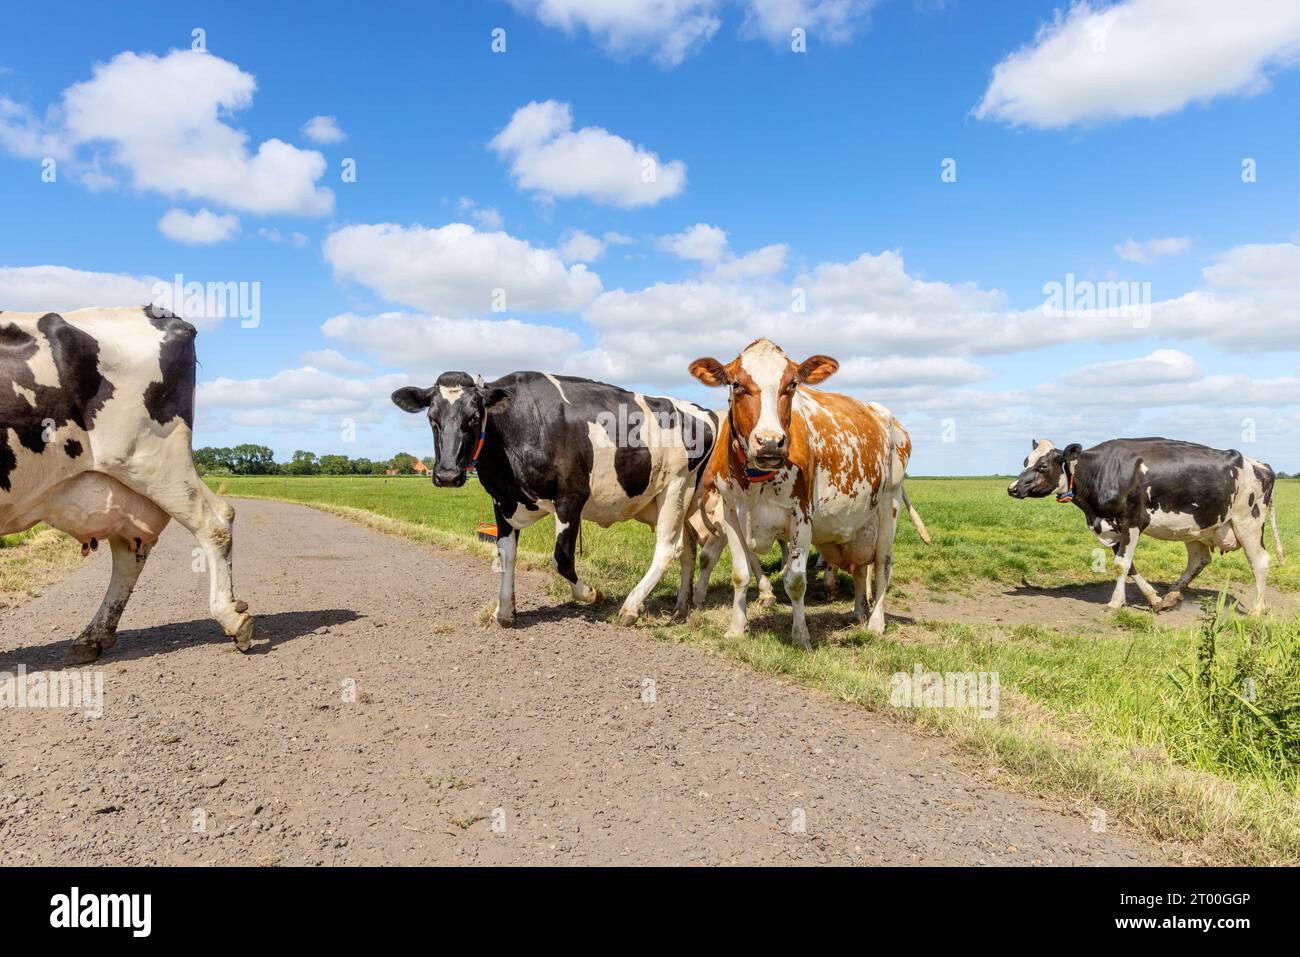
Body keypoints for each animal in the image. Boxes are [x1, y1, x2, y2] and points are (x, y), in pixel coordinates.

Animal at [1, 306, 254, 663]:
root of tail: (157, 312)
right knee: (130, 549)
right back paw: (92, 637)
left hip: (154, 462)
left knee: (214, 520)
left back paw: (232, 617)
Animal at [391, 371, 717, 627]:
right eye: (432, 418)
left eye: (473, 418)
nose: (447, 474)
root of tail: (702, 411)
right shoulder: (502, 501)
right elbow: (506, 554)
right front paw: (505, 611)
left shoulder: (570, 498)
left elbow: (562, 560)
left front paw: (591, 594)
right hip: (659, 501)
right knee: (687, 546)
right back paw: (680, 608)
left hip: (677, 487)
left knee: (668, 548)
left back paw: (630, 607)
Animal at [688, 338, 927, 647]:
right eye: (737, 385)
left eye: (791, 384)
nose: (770, 442)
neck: (755, 482)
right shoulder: (730, 513)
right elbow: (740, 575)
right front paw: (736, 629)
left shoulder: (801, 516)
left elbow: (796, 581)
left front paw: (800, 635)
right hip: (860, 520)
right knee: (861, 568)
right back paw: (858, 612)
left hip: (890, 504)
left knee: (883, 564)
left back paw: (876, 623)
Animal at [1007, 438, 1284, 615]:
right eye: (1025, 462)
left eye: (1043, 466)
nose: (1012, 488)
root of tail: (1260, 465)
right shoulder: (1115, 527)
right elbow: (1128, 566)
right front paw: (1154, 599)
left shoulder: (1131, 521)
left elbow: (1121, 565)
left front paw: (1115, 604)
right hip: (1197, 529)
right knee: (1199, 561)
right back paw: (1171, 597)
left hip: (1248, 523)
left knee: (1260, 563)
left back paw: (1256, 612)